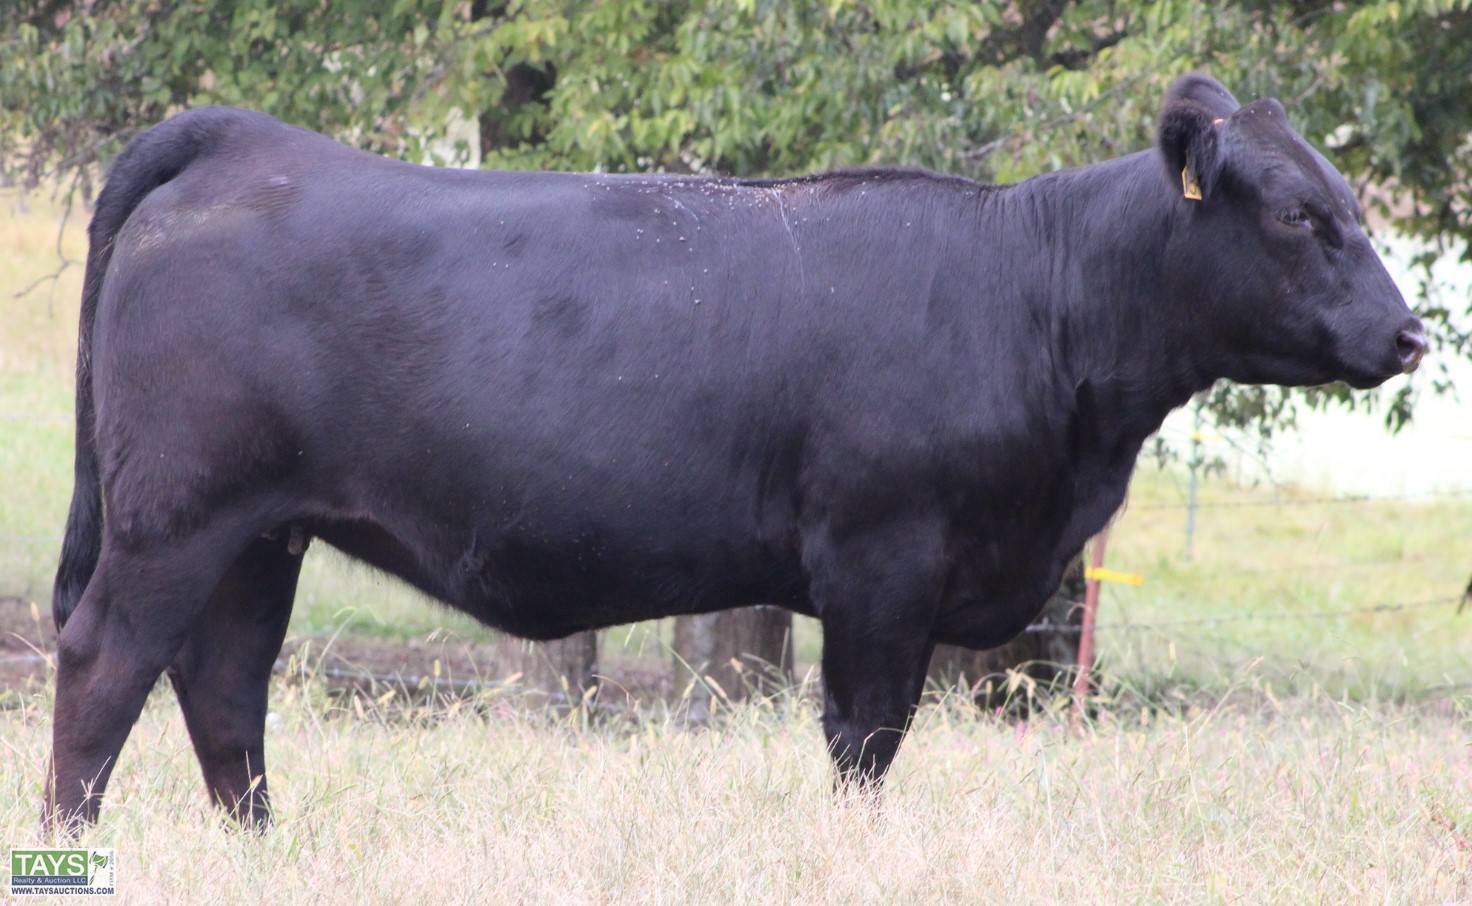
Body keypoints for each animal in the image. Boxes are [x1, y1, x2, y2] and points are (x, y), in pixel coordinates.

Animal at [44, 73, 1425, 832]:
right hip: (176, 518)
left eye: (1355, 210)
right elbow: (863, 740)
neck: (1034, 297)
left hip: (258, 533)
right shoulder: (882, 562)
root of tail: (254, 141)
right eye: (1298, 217)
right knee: (106, 661)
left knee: (224, 686)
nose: (1408, 332)